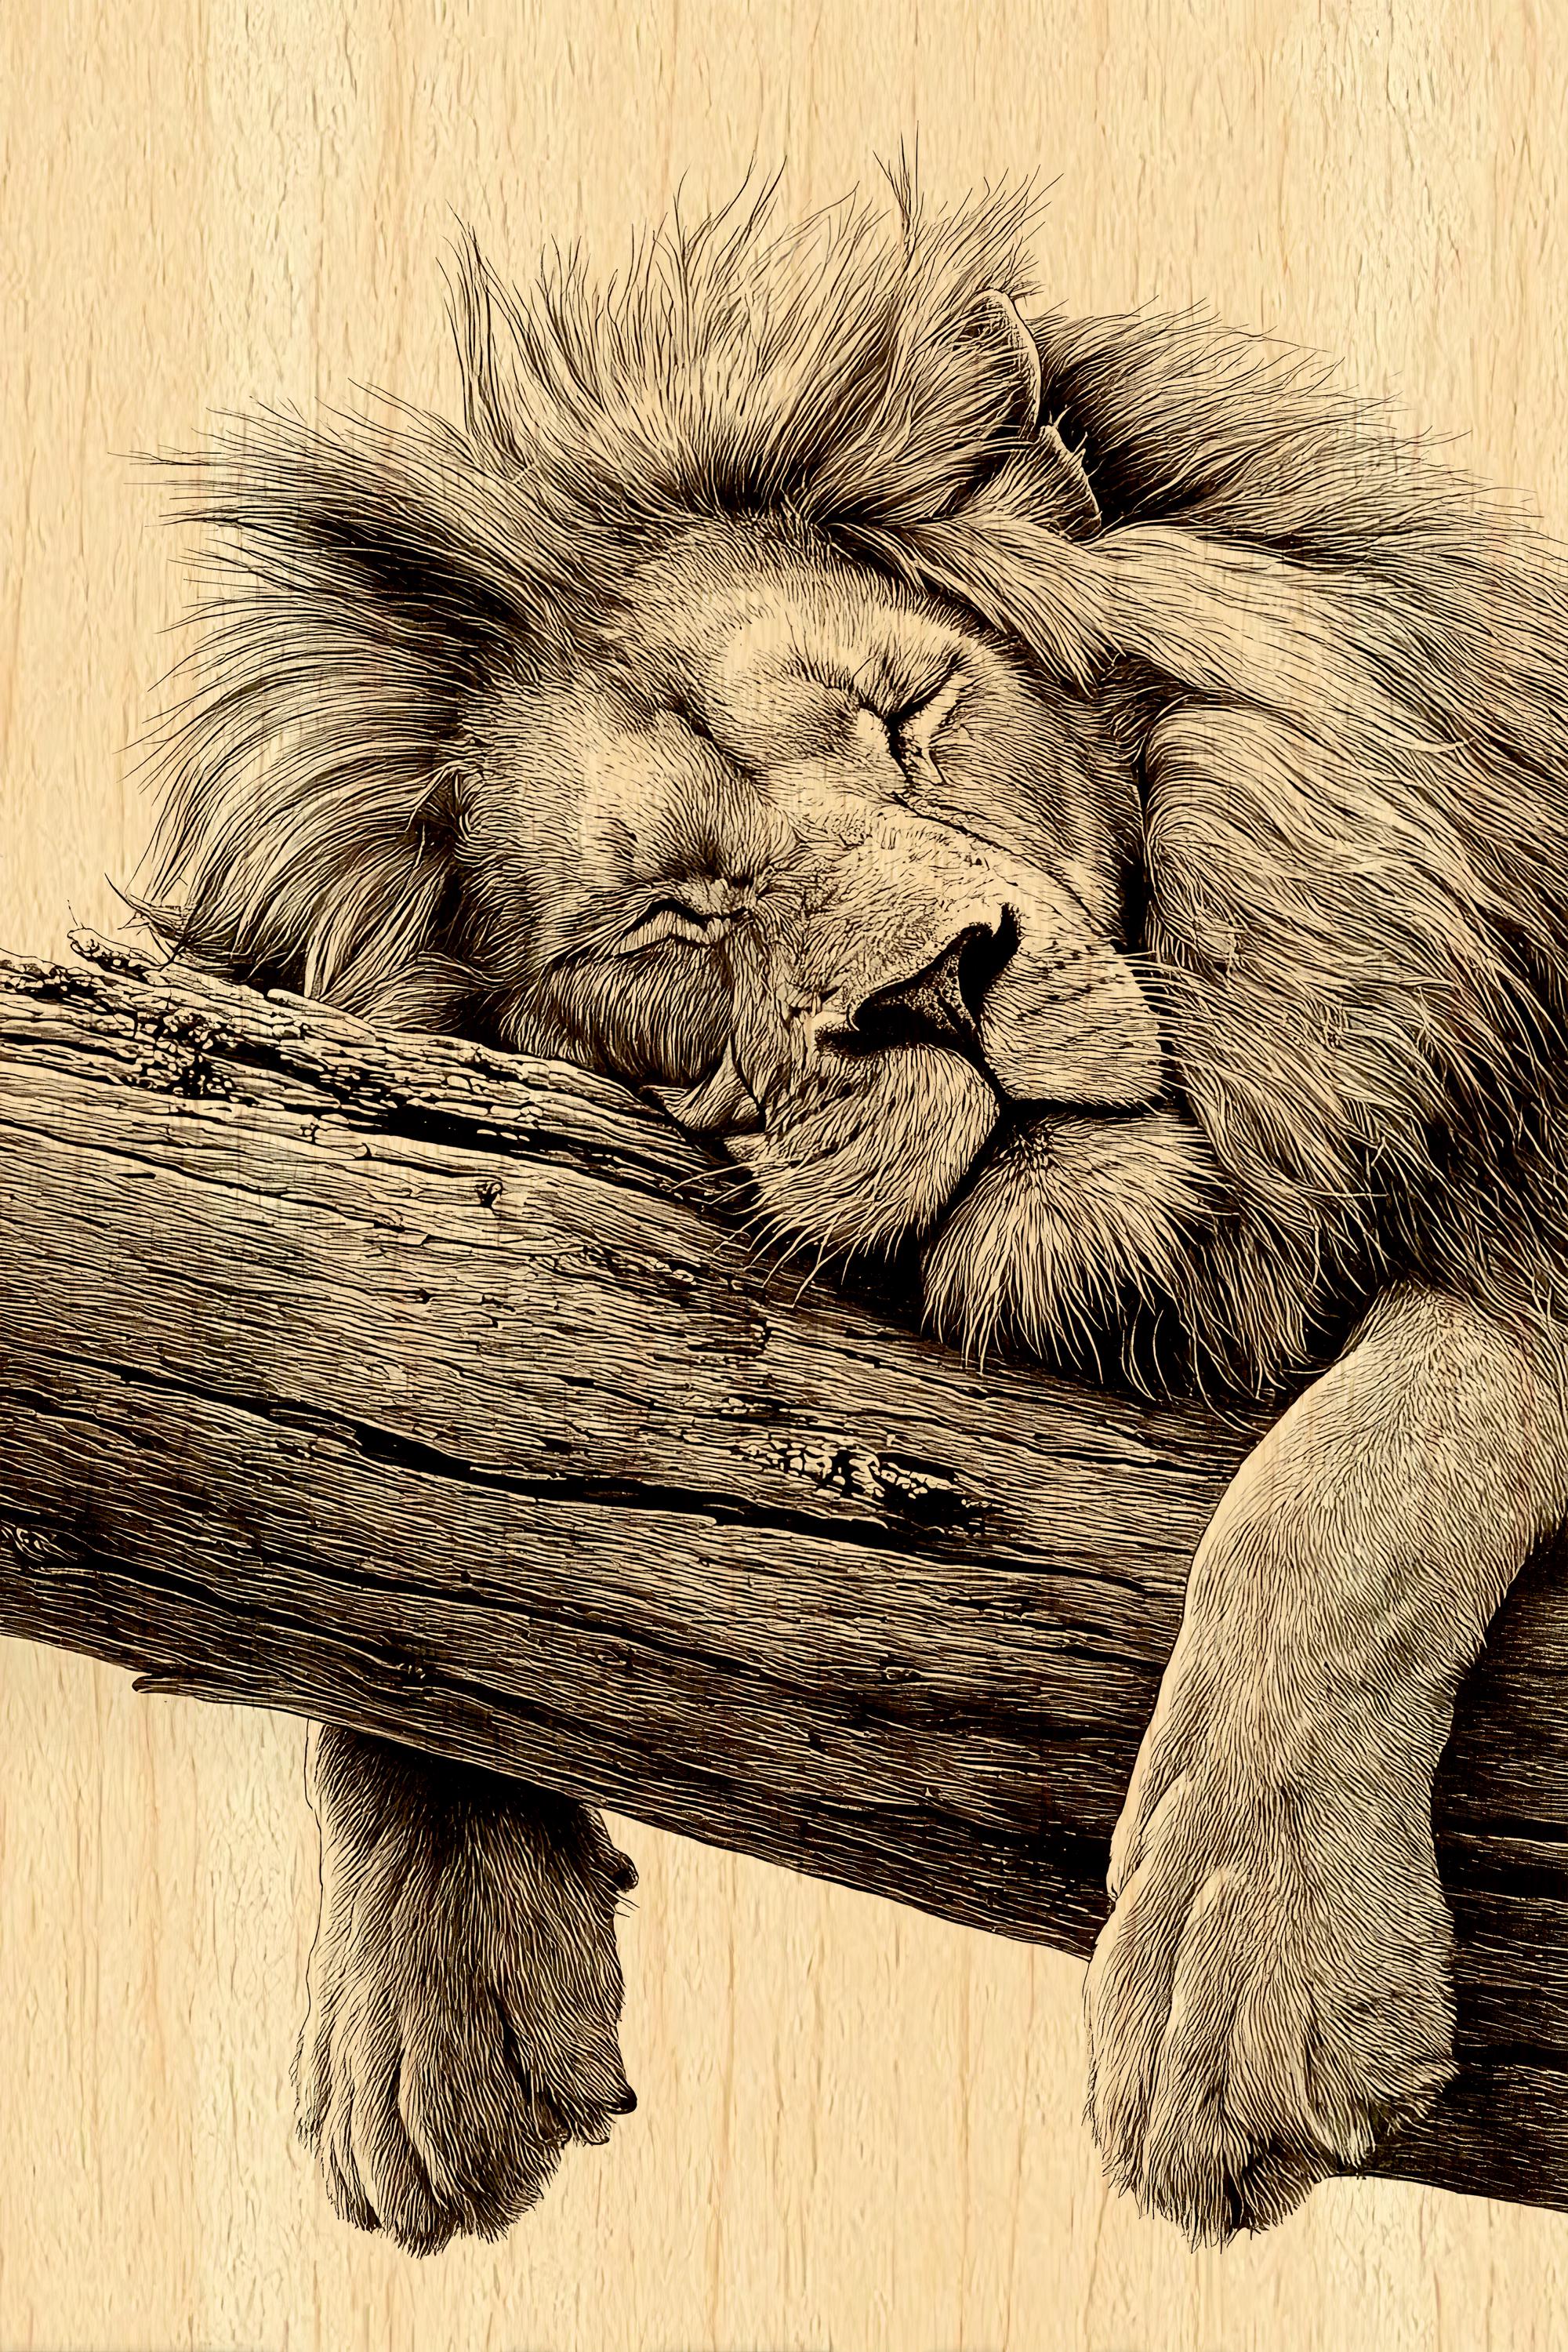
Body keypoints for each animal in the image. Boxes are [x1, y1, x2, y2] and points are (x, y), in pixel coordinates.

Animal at [138, 174, 1568, 2252]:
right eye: (671, 920)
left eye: (910, 718)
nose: (935, 985)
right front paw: (431, 1995)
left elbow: (1346, 1486)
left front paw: (1240, 1983)